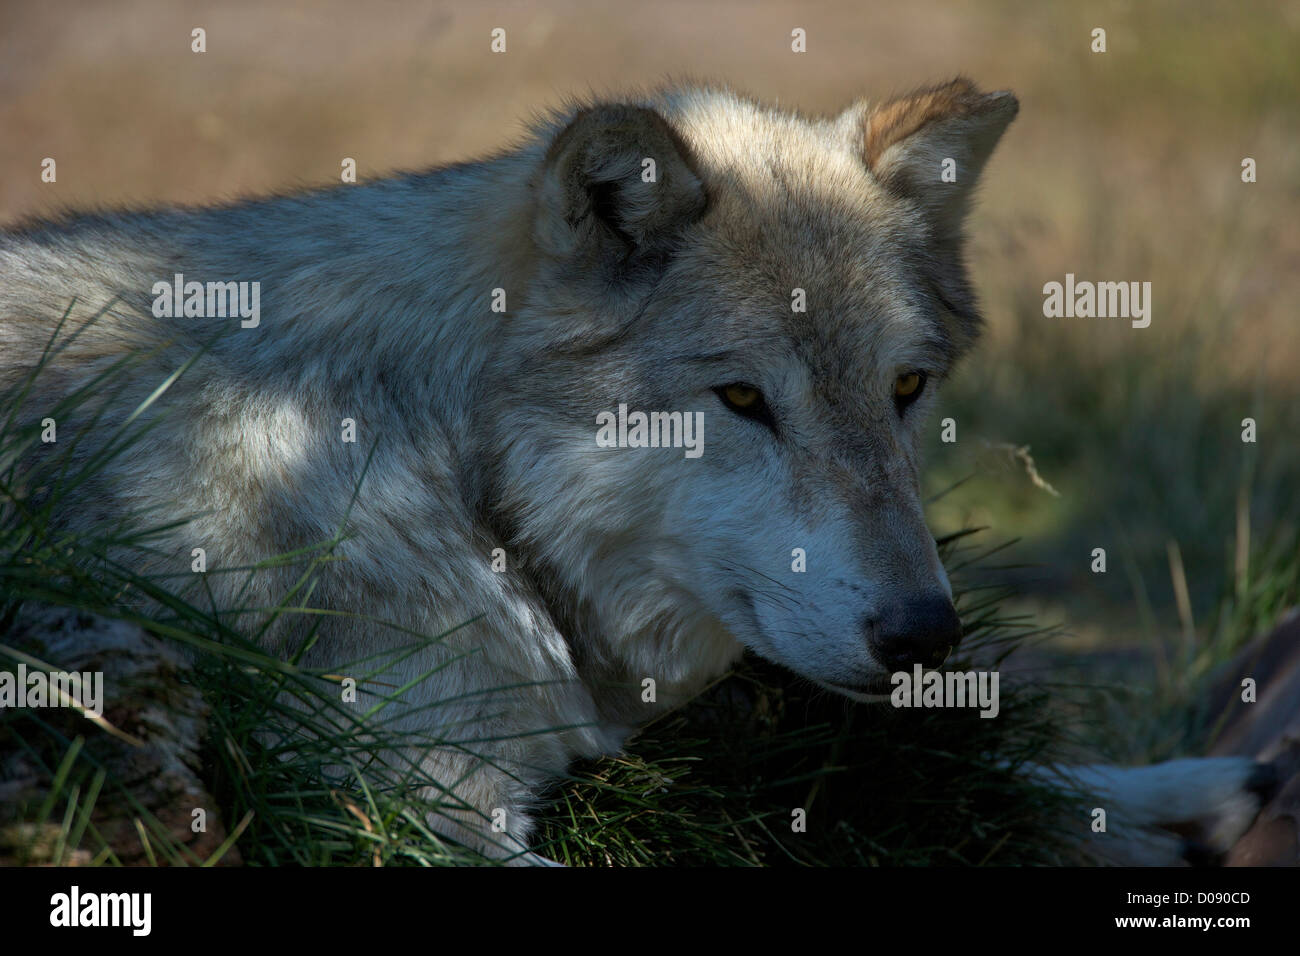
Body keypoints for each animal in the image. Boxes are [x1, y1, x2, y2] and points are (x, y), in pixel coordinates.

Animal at [0, 78, 1273, 864]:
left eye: (906, 388)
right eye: (744, 399)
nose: (924, 634)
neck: (465, 486)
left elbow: (952, 763)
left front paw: (1169, 797)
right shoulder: (402, 806)